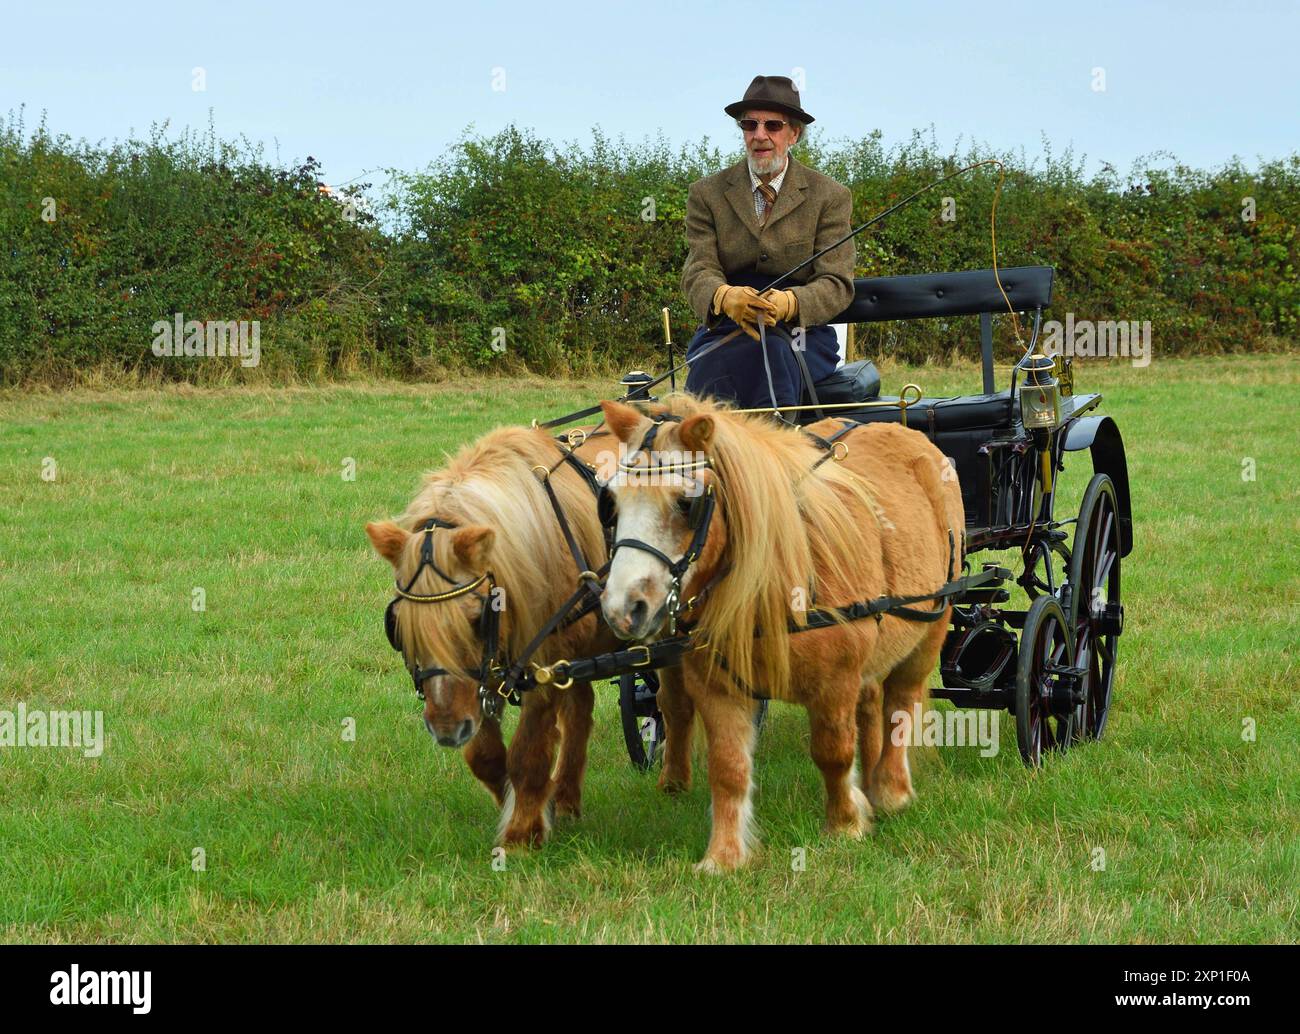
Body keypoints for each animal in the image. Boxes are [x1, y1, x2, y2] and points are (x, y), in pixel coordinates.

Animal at [365, 423, 686, 849]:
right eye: (398, 626)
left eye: (476, 618)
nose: (447, 729)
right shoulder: (490, 671)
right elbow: (485, 757)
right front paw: (534, 807)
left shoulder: (543, 664)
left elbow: (527, 752)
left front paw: (522, 832)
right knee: (581, 710)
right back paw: (566, 798)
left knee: (673, 701)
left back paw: (675, 781)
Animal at [598, 395, 965, 872]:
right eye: (612, 502)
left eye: (685, 503)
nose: (623, 609)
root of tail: (907, 430)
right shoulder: (717, 688)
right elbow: (727, 767)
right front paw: (724, 856)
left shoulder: (835, 684)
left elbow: (832, 753)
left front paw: (845, 824)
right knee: (871, 703)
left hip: (933, 625)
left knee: (901, 702)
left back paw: (890, 790)